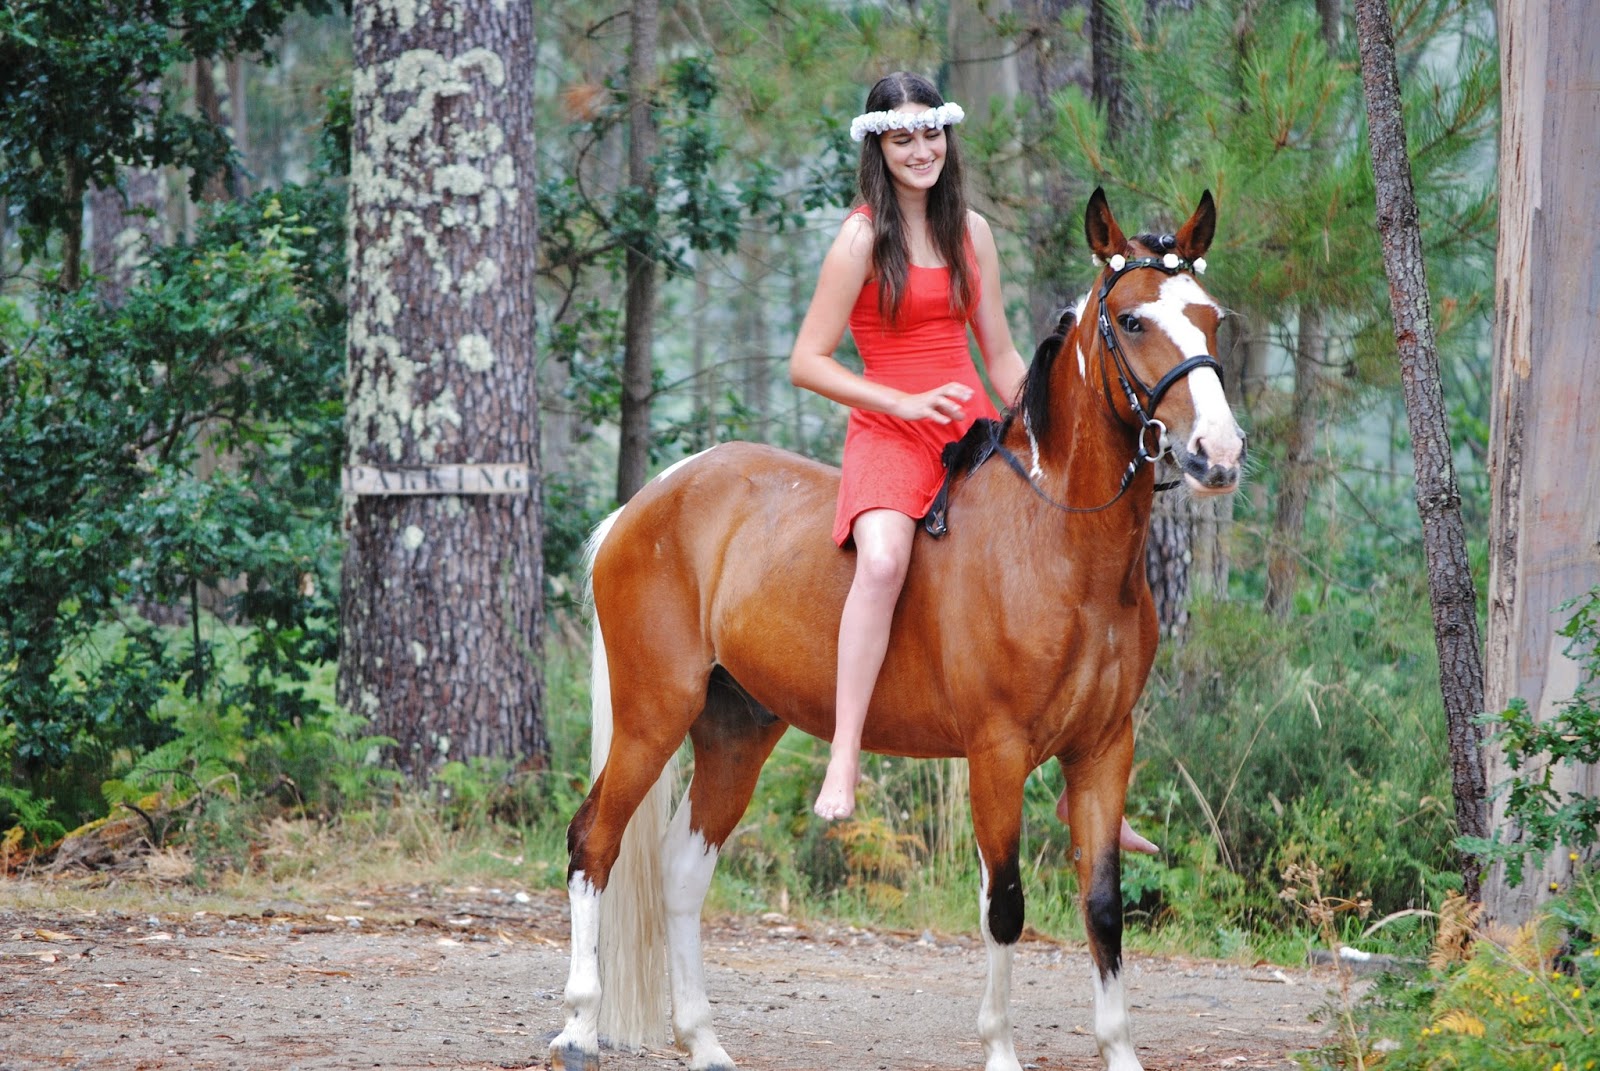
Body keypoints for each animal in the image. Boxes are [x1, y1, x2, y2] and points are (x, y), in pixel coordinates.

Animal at [549, 188, 1245, 1071]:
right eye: (1131, 320)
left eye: (1210, 316)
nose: (1218, 452)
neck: (1058, 541)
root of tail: (650, 500)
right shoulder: (997, 752)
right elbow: (1005, 903)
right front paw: (1000, 1050)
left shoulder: (1104, 749)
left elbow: (1103, 905)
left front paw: (1119, 1050)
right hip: (652, 715)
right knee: (593, 843)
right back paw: (578, 1026)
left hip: (735, 731)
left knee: (680, 869)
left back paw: (703, 1039)